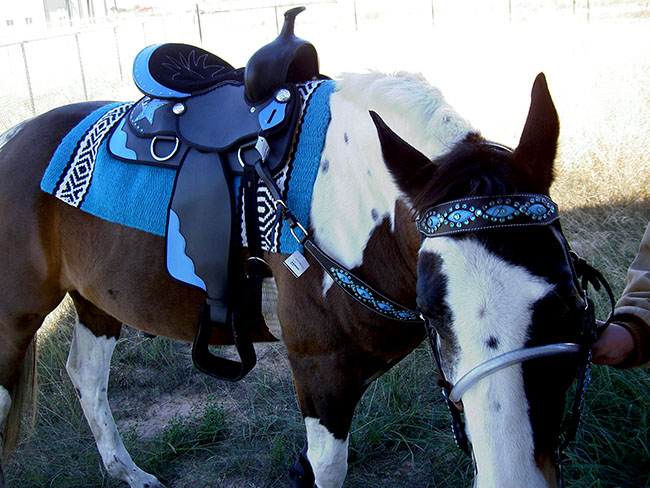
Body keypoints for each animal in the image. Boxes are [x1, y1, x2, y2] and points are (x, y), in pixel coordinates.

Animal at [0, 68, 599, 488]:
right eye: (435, 313)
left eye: (570, 307)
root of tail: (15, 135)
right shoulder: (320, 371)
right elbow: (327, 470)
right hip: (15, 319)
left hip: (97, 302)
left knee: (86, 377)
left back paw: (128, 471)